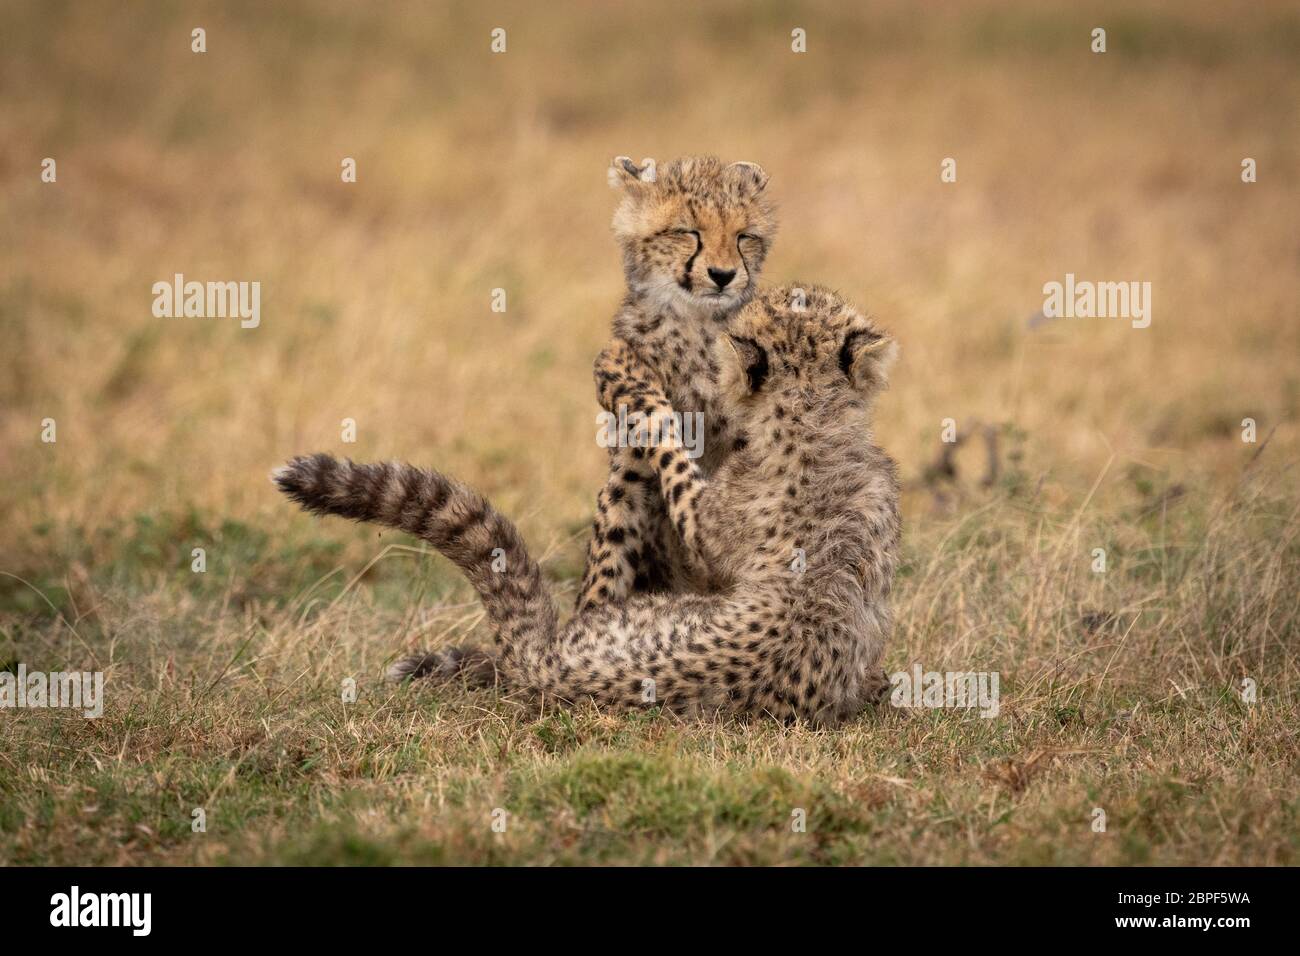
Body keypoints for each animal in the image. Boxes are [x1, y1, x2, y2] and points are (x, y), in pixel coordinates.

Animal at [575, 154, 777, 614]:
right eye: (688, 232)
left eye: (743, 236)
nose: (723, 275)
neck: (693, 321)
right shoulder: (629, 472)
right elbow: (609, 550)